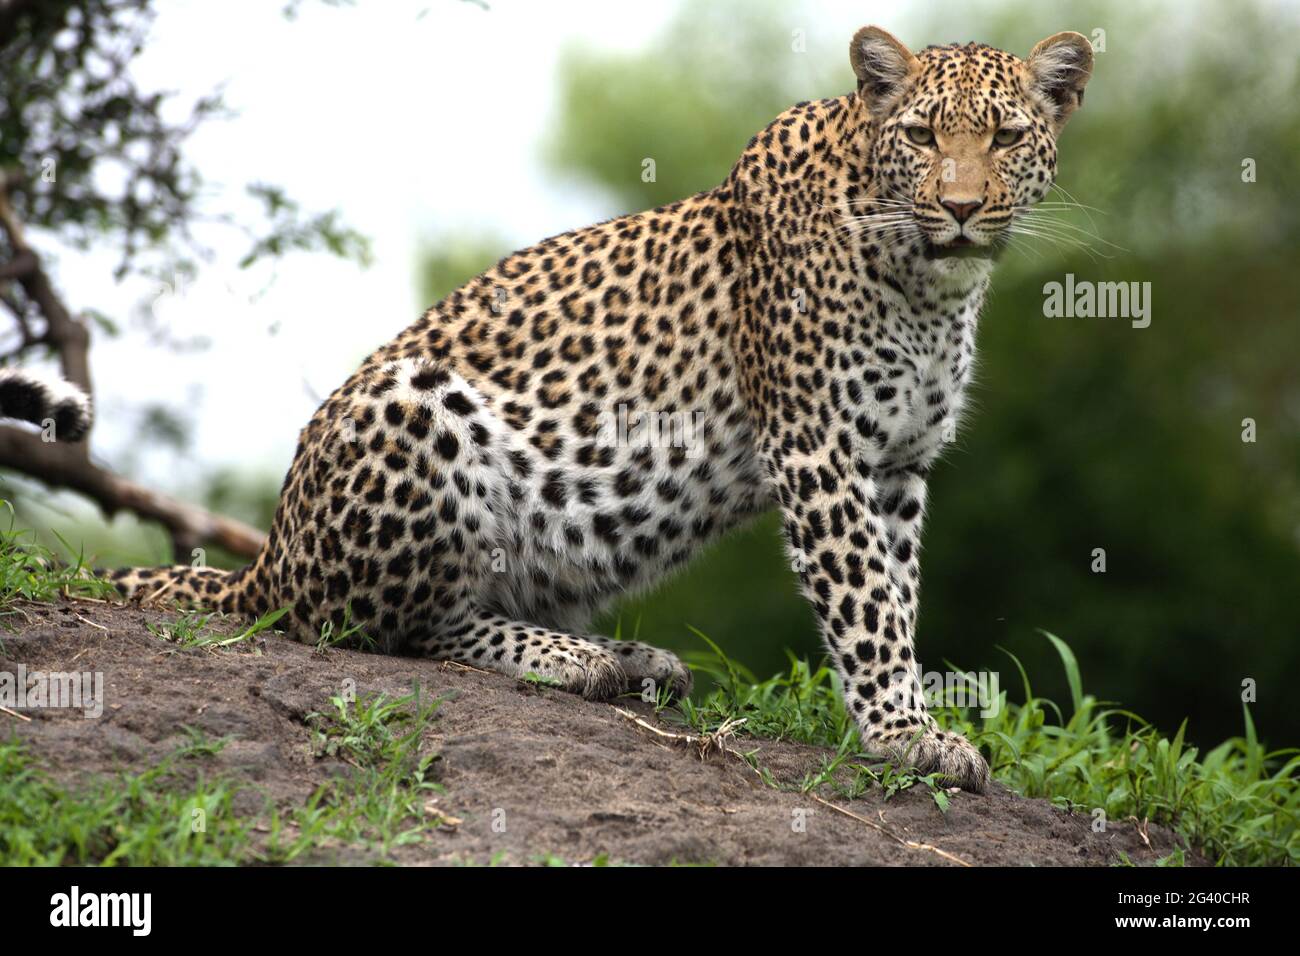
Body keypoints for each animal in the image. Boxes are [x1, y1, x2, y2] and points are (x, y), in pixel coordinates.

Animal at [5, 26, 1093, 792]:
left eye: (1004, 136)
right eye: (921, 135)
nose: (961, 206)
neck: (931, 286)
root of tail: (270, 555)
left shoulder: (895, 464)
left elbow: (894, 593)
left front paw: (906, 719)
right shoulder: (819, 447)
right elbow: (862, 599)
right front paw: (906, 735)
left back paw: (630, 657)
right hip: (418, 409)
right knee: (386, 630)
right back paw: (577, 661)